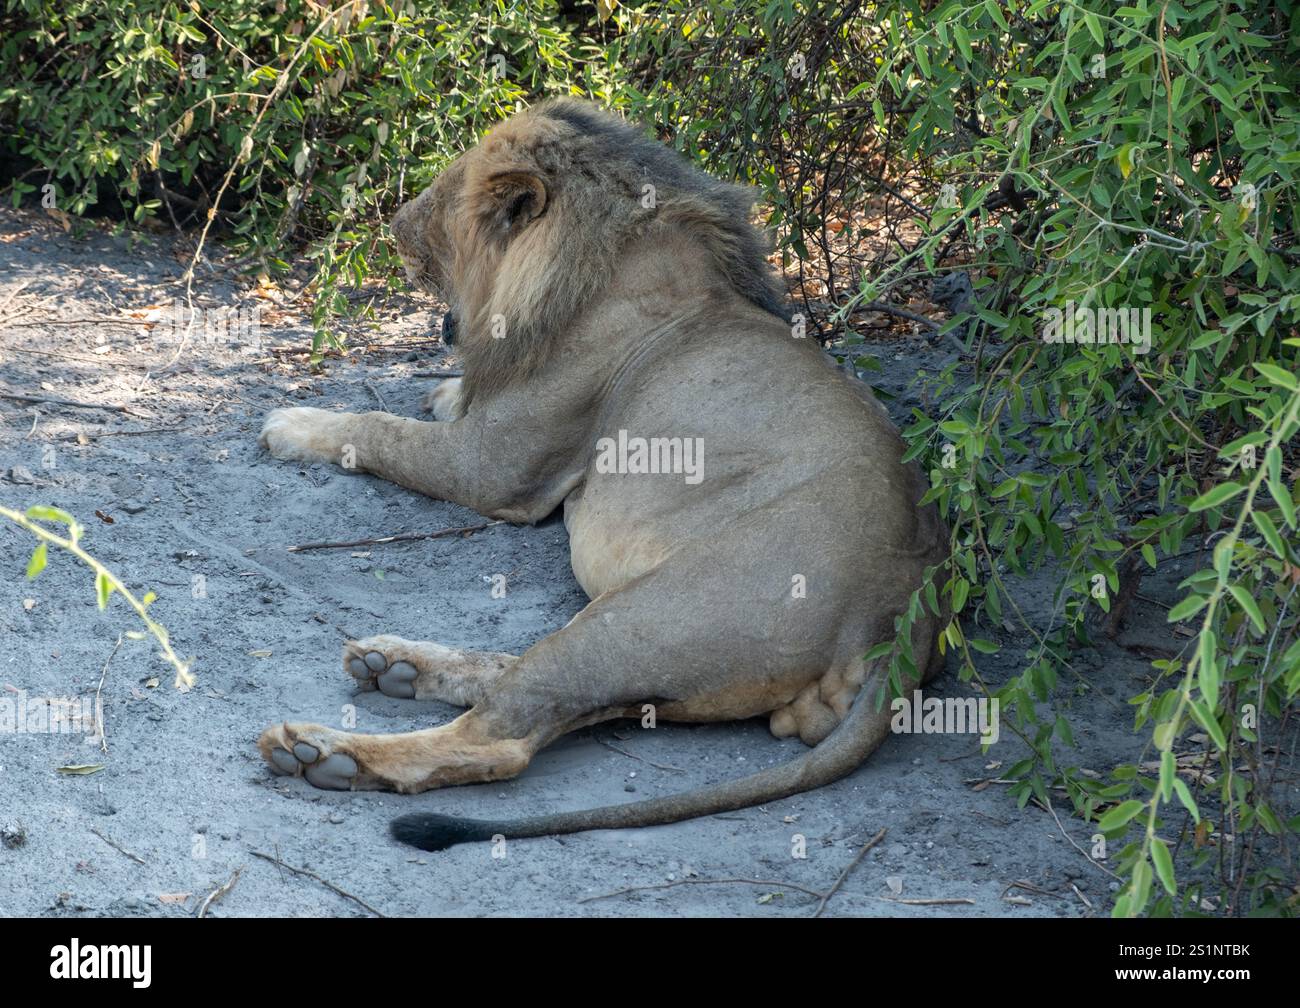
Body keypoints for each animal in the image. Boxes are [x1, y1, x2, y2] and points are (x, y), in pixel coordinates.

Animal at [257, 98, 948, 850]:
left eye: (440, 201)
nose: (394, 222)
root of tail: (907, 610)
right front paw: (441, 393)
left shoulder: (493, 469)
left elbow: (378, 430)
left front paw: (292, 425)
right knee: (524, 678)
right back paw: (397, 664)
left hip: (654, 612)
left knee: (499, 738)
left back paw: (325, 751)